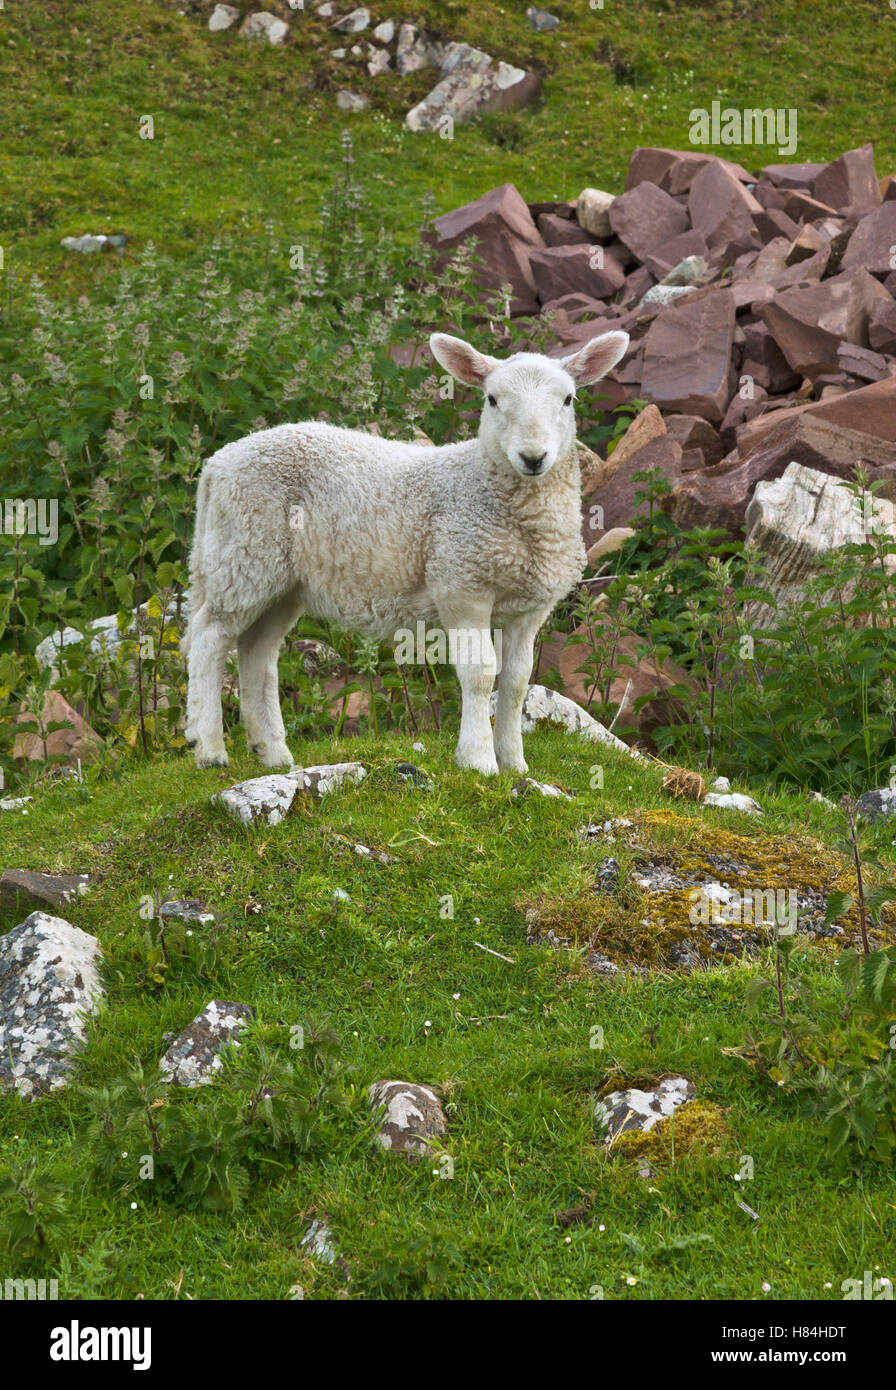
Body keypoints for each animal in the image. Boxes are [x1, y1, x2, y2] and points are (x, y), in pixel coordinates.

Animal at [182, 328, 629, 776]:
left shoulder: (528, 608)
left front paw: (514, 764)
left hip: (281, 580)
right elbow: (480, 674)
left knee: (257, 652)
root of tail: (217, 464)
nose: (533, 457)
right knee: (209, 638)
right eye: (492, 399)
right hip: (244, 552)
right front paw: (478, 760)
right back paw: (209, 749)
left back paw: (272, 752)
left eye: (568, 399)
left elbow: (518, 683)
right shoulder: (461, 585)